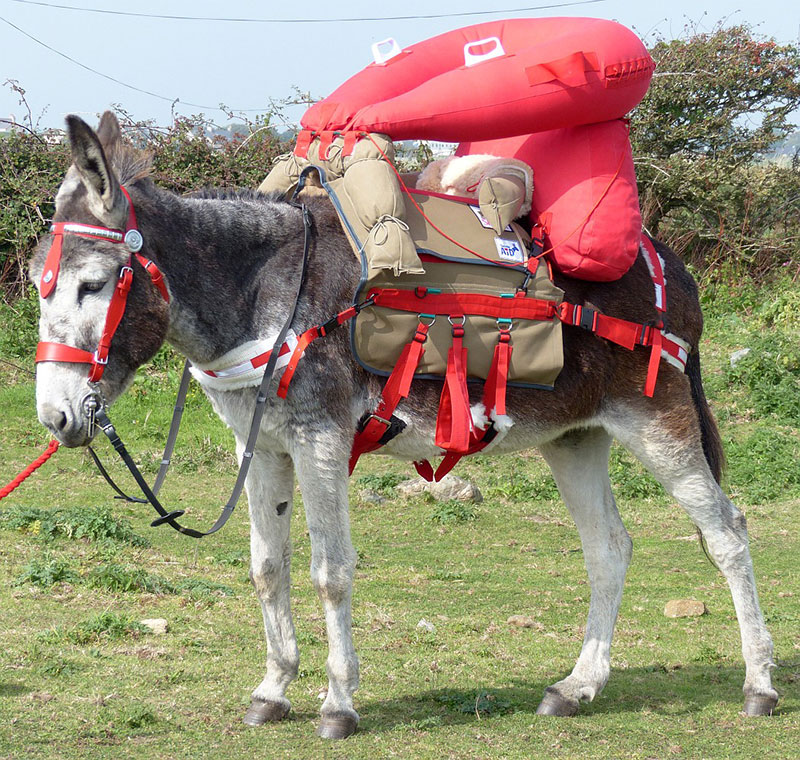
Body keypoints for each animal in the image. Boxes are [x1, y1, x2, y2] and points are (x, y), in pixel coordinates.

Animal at [30, 112, 778, 738]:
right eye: (38, 286)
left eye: (93, 285)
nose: (56, 415)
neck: (265, 289)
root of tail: (668, 263)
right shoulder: (264, 446)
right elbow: (268, 568)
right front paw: (273, 690)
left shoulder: (320, 440)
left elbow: (331, 570)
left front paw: (338, 704)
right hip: (576, 437)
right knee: (609, 548)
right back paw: (578, 686)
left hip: (658, 421)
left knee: (726, 532)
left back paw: (759, 684)